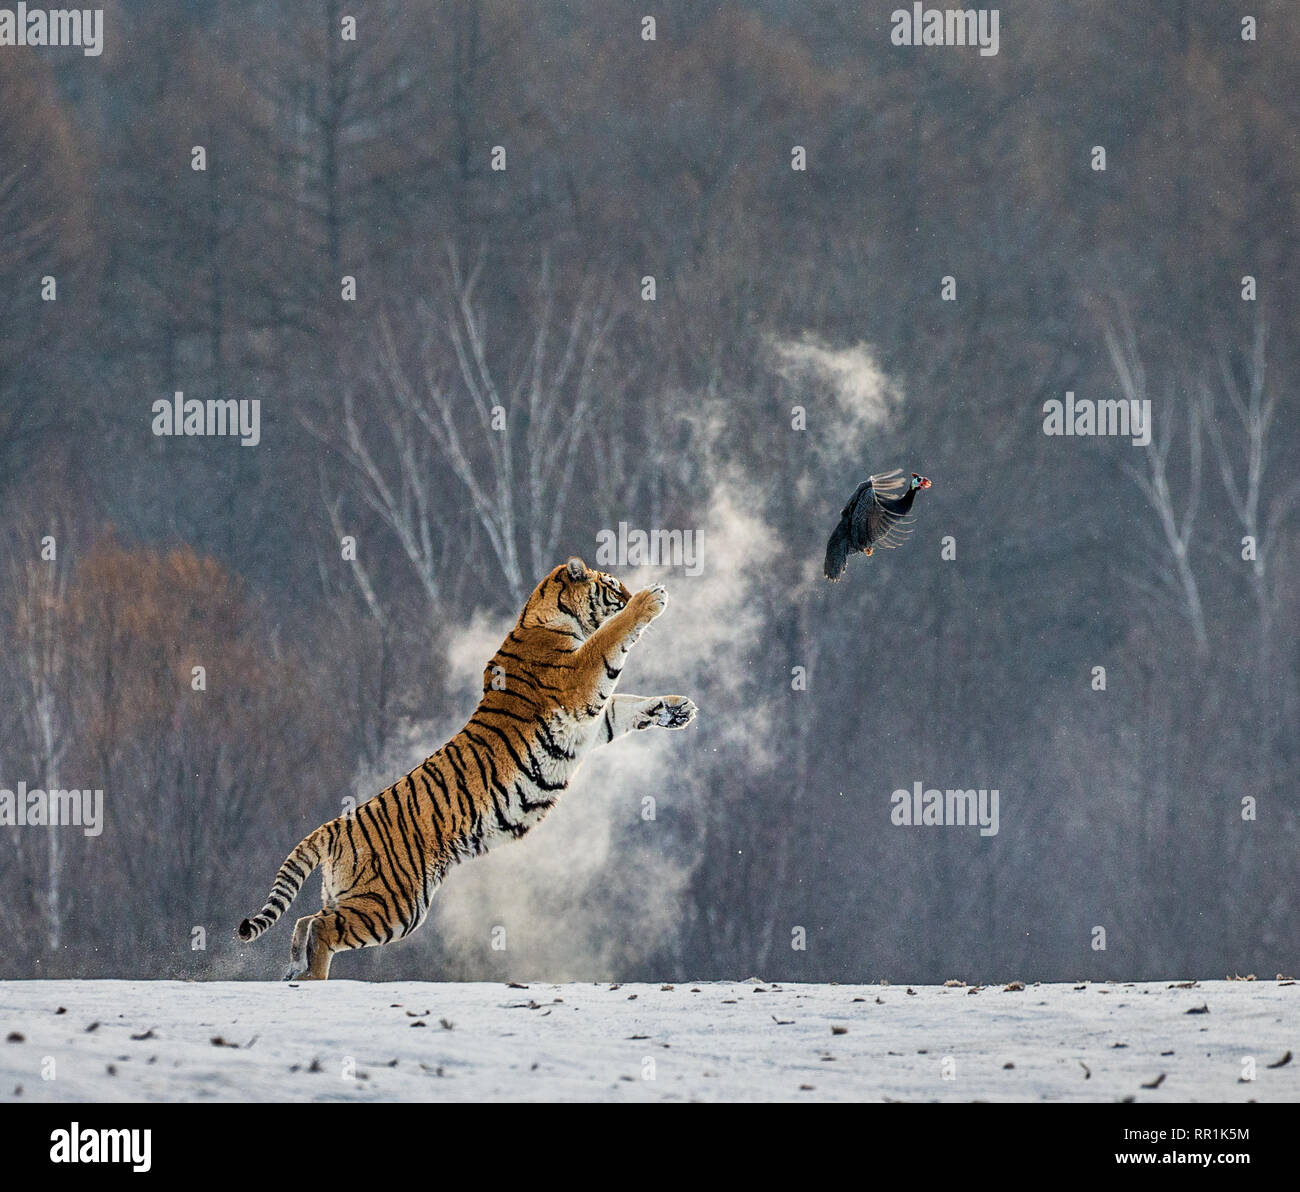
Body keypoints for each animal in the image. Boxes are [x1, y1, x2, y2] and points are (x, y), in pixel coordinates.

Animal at [235, 556, 696, 980]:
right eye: (613, 585)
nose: (631, 590)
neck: (547, 616)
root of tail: (335, 825)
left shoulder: (591, 721)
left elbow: (629, 706)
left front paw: (677, 709)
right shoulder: (580, 681)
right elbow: (611, 637)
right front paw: (649, 599)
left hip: (362, 897)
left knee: (305, 920)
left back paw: (293, 971)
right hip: (393, 903)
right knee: (323, 928)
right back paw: (310, 980)